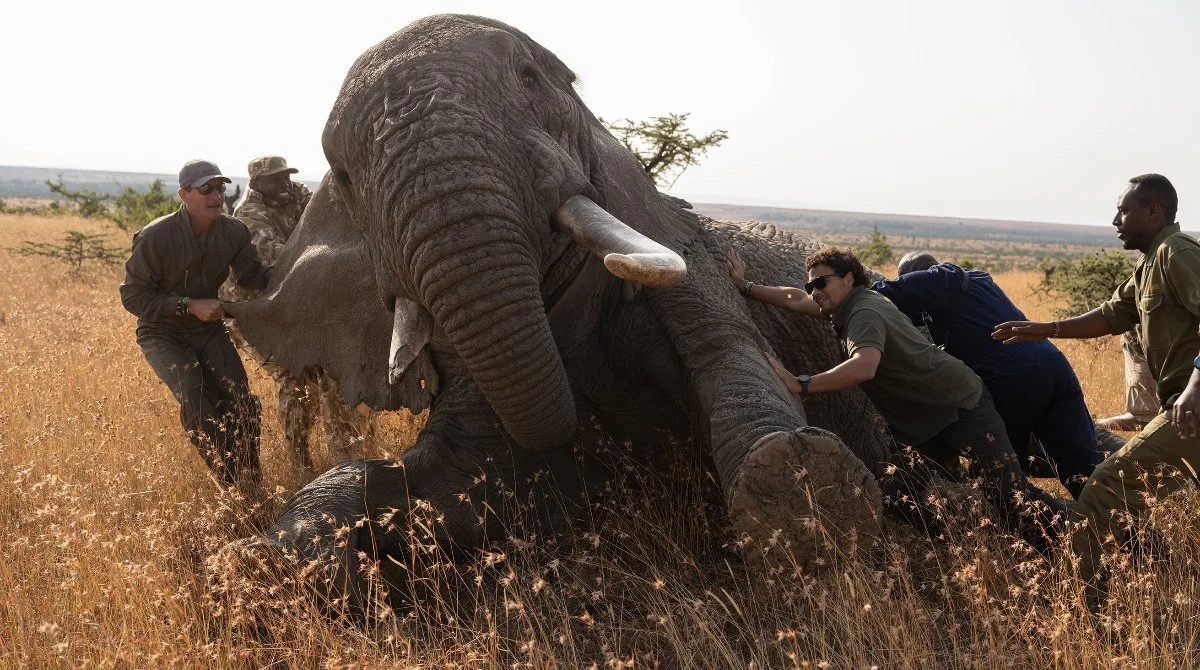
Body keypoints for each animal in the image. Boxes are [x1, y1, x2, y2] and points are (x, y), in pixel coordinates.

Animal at [220, 14, 898, 606]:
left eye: (529, 79)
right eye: (340, 173)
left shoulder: (672, 242)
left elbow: (731, 362)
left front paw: (805, 504)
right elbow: (456, 470)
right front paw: (269, 564)